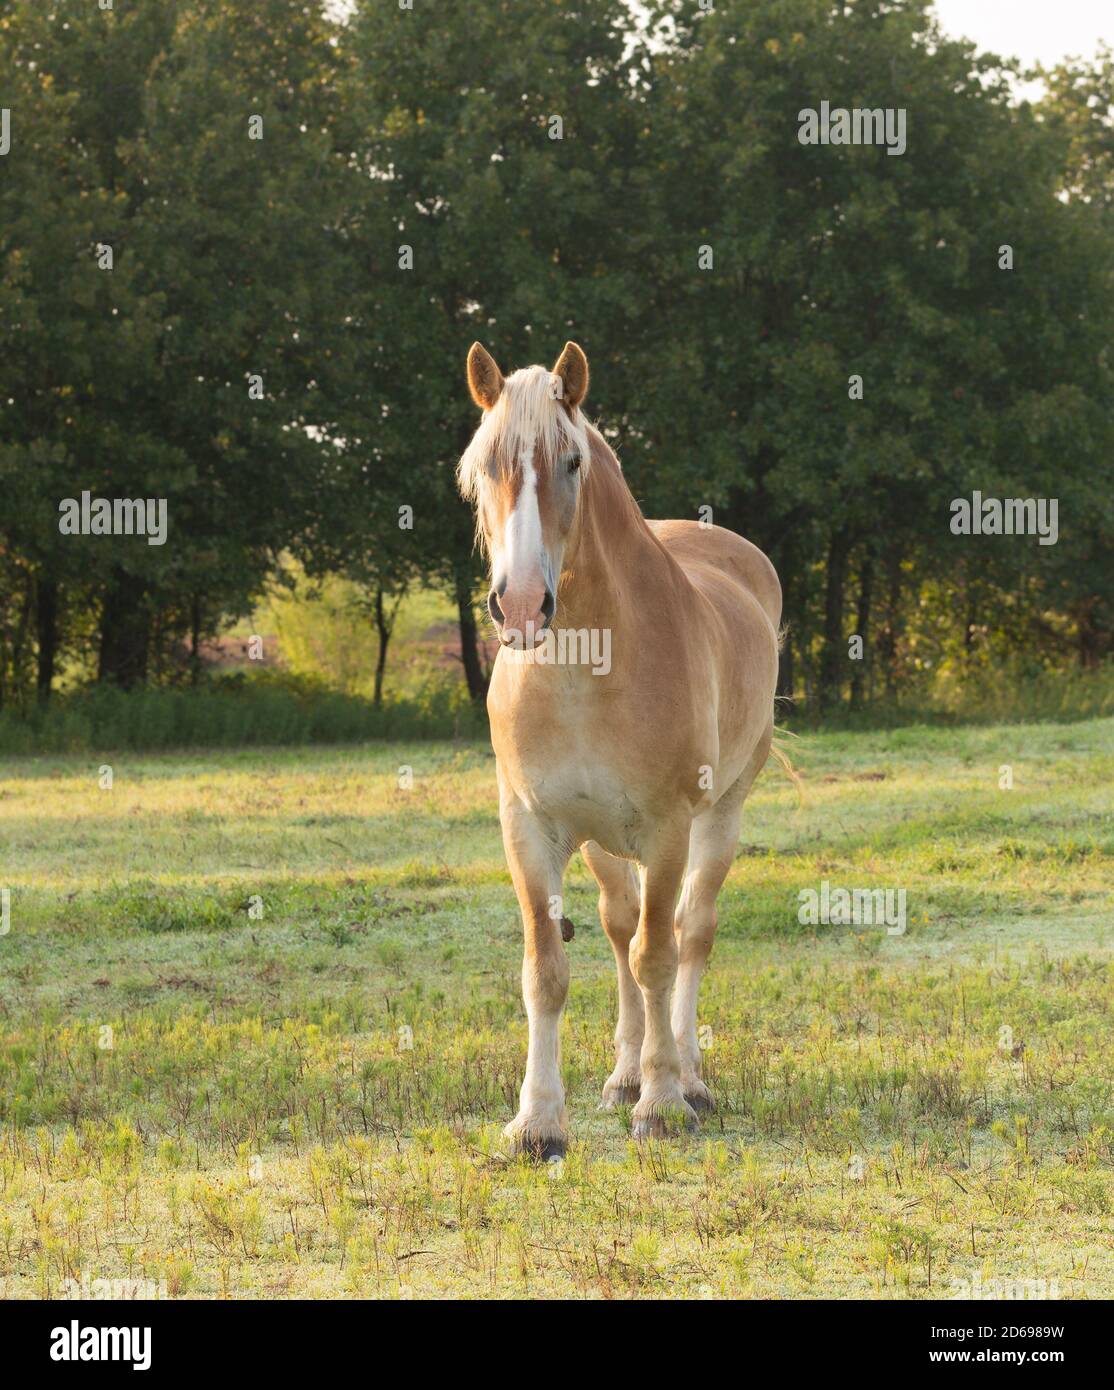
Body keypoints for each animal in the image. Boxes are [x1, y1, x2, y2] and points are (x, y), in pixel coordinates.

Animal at [458, 341, 782, 1157]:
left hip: (720, 816)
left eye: (572, 461)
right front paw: (538, 1121)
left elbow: (659, 955)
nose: (519, 605)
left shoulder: (668, 829)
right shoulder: (531, 827)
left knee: (688, 933)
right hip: (603, 843)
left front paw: (663, 1105)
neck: (583, 667)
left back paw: (688, 1079)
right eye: (483, 465)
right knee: (618, 927)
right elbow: (548, 968)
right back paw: (625, 1075)